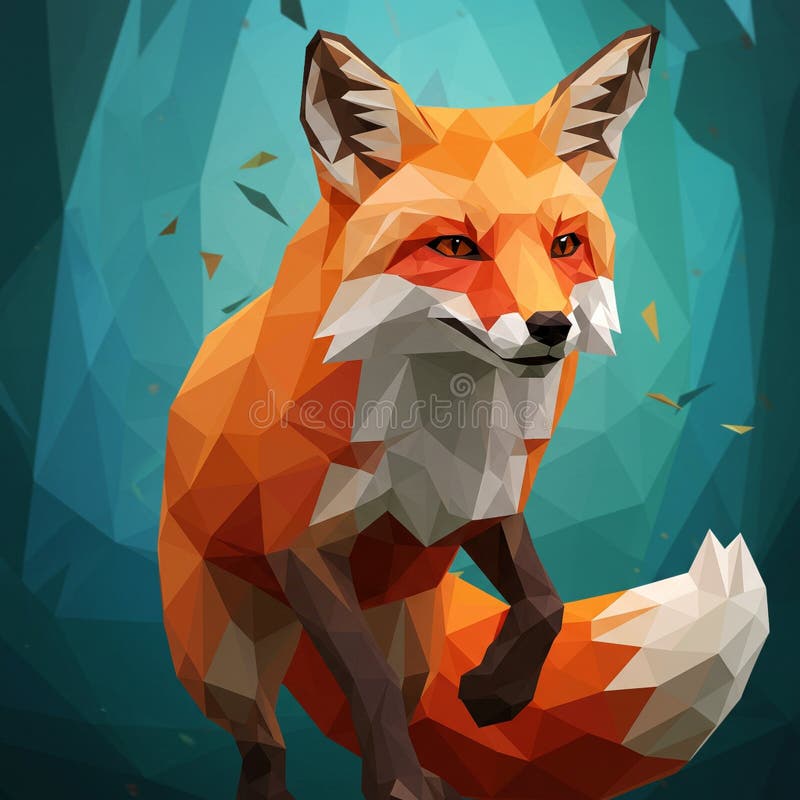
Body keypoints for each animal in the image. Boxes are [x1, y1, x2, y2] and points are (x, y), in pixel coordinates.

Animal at [160, 25, 659, 800]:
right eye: (455, 245)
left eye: (565, 245)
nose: (552, 328)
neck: (440, 421)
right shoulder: (300, 543)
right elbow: (366, 683)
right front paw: (399, 784)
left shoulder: (481, 501)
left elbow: (543, 604)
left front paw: (496, 692)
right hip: (220, 666)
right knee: (264, 744)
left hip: (415, 635)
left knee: (405, 691)